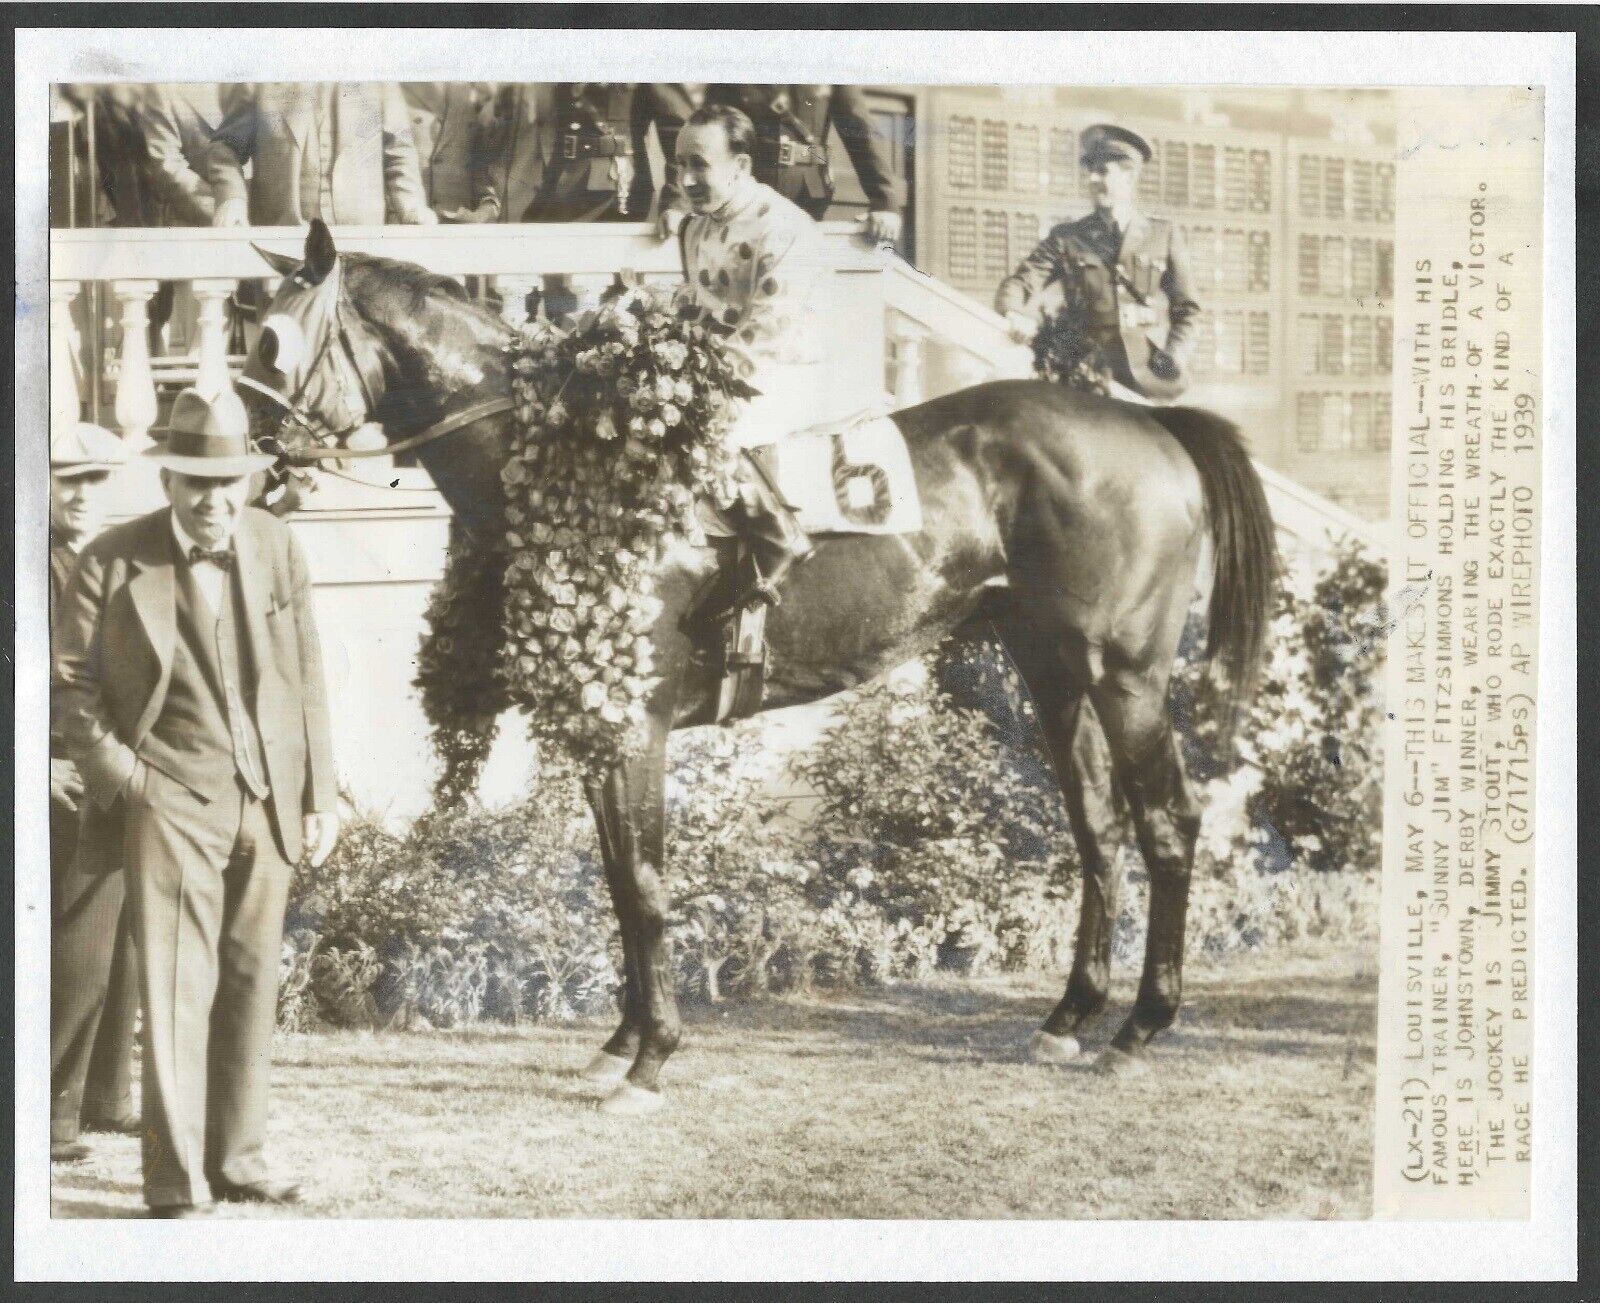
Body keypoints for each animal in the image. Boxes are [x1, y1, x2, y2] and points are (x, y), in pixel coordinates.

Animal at [243, 220, 1276, 1116]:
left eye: (269, 342)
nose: (247, 461)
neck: (564, 467)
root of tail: (1150, 427)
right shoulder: (600, 728)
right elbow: (620, 880)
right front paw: (620, 1042)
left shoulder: (637, 724)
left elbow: (645, 883)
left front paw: (651, 1057)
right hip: (1054, 669)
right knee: (1098, 828)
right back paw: (1069, 1017)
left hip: (1129, 674)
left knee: (1170, 825)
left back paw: (1140, 1027)